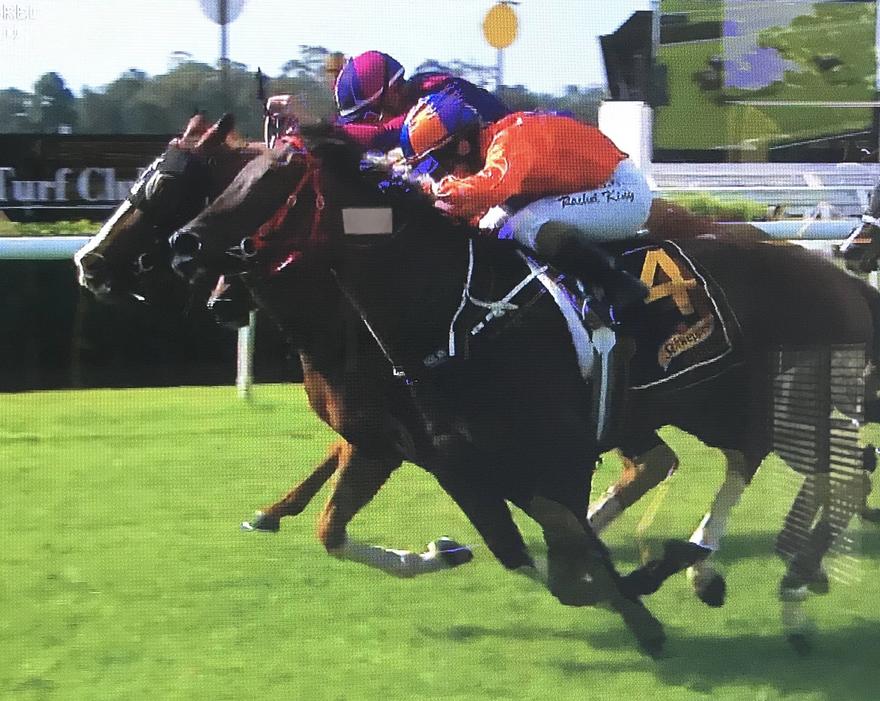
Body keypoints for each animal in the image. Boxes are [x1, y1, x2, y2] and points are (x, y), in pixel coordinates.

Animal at [164, 131, 880, 649]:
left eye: (273, 182)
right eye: (231, 178)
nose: (183, 243)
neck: (447, 313)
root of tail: (838, 278)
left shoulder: (553, 455)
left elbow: (565, 554)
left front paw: (650, 589)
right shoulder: (446, 458)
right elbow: (525, 556)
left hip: (776, 401)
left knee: (844, 469)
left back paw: (789, 582)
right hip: (716, 404)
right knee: (772, 459)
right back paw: (745, 570)